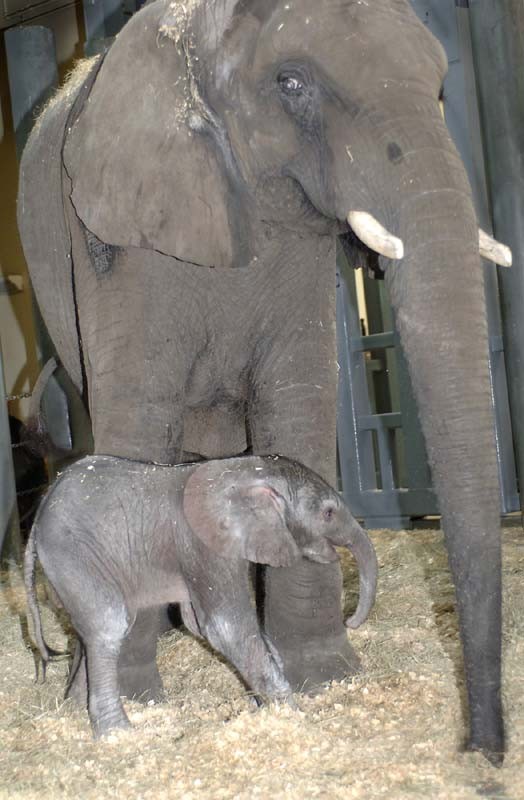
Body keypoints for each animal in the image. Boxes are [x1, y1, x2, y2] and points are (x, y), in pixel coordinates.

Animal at [24, 453, 378, 737]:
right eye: (328, 513)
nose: (351, 620)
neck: (249, 470)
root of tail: (38, 515)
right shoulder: (204, 544)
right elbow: (224, 628)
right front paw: (291, 715)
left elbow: (198, 624)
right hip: (72, 552)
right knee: (108, 626)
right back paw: (117, 734)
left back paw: (75, 712)